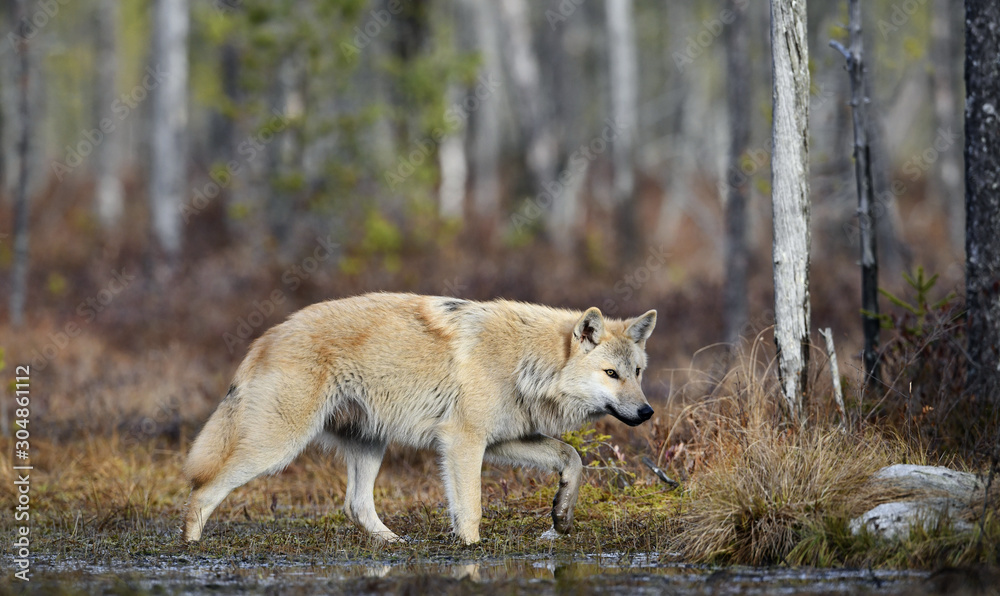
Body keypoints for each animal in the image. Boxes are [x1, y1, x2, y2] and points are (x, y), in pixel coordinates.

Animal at [184, 292, 657, 544]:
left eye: (637, 372)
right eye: (611, 374)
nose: (647, 411)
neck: (526, 361)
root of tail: (266, 336)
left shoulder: (501, 441)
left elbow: (573, 458)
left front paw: (561, 517)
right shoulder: (463, 442)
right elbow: (471, 509)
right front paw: (472, 550)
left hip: (370, 444)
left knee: (356, 505)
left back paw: (395, 545)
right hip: (276, 447)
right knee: (202, 490)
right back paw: (190, 548)